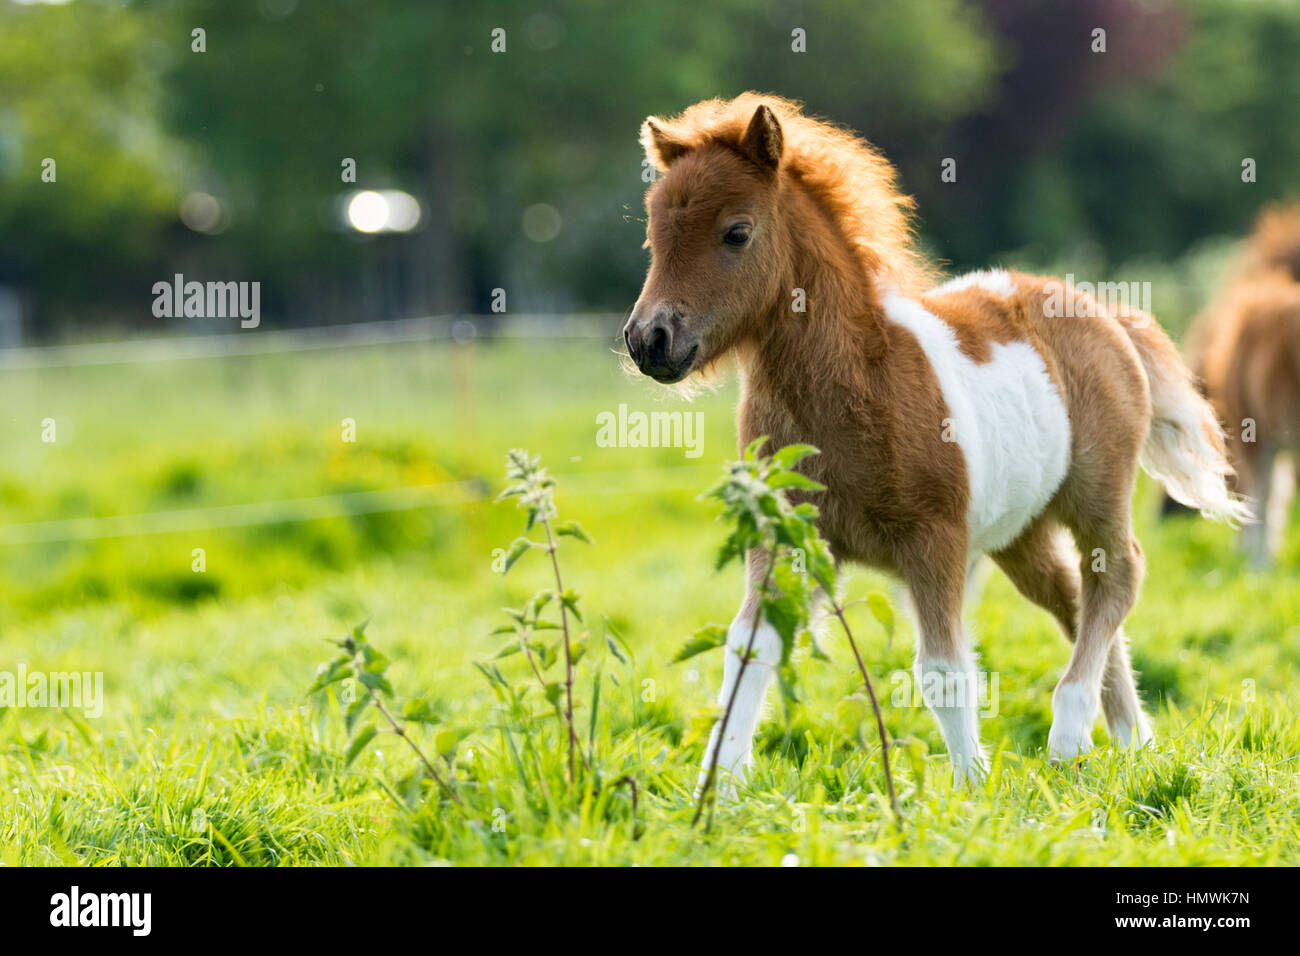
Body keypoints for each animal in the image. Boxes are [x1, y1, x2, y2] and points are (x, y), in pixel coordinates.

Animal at [621, 94, 1250, 788]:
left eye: (736, 232)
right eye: (653, 234)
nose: (649, 341)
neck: (858, 383)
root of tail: (1105, 310)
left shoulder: (935, 540)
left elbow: (944, 673)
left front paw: (971, 788)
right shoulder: (787, 534)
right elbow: (751, 648)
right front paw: (720, 786)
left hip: (1096, 492)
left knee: (1117, 576)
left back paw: (1069, 734)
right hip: (1019, 532)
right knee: (1071, 596)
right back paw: (1135, 741)